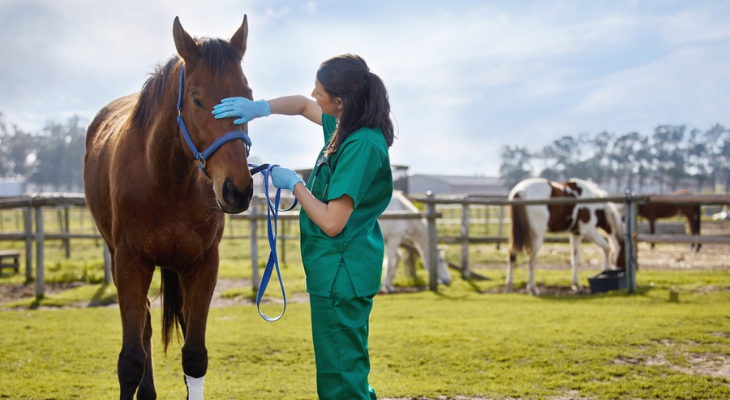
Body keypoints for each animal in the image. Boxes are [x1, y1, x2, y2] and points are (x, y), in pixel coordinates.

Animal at [83, 16, 254, 399]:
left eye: (248, 97)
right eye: (196, 100)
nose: (237, 189)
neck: (167, 181)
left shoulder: (204, 265)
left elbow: (194, 356)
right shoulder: (129, 264)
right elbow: (130, 361)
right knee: (145, 325)